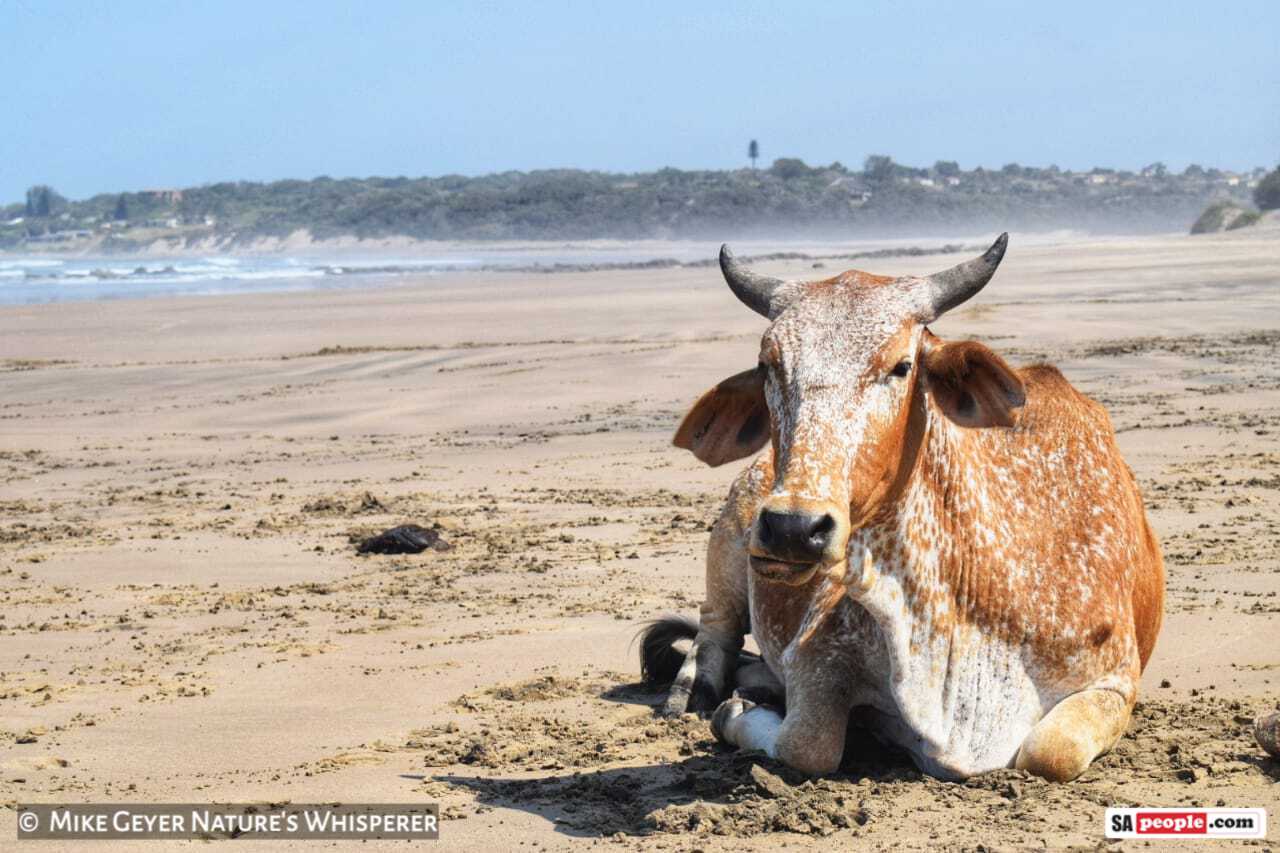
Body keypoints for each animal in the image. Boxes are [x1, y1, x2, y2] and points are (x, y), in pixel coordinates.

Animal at [641, 235, 1164, 781]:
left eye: (901, 366)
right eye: (769, 366)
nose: (792, 527)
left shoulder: (1115, 679)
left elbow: (1051, 752)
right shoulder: (817, 651)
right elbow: (807, 744)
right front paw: (734, 711)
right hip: (730, 535)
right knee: (715, 625)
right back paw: (696, 688)